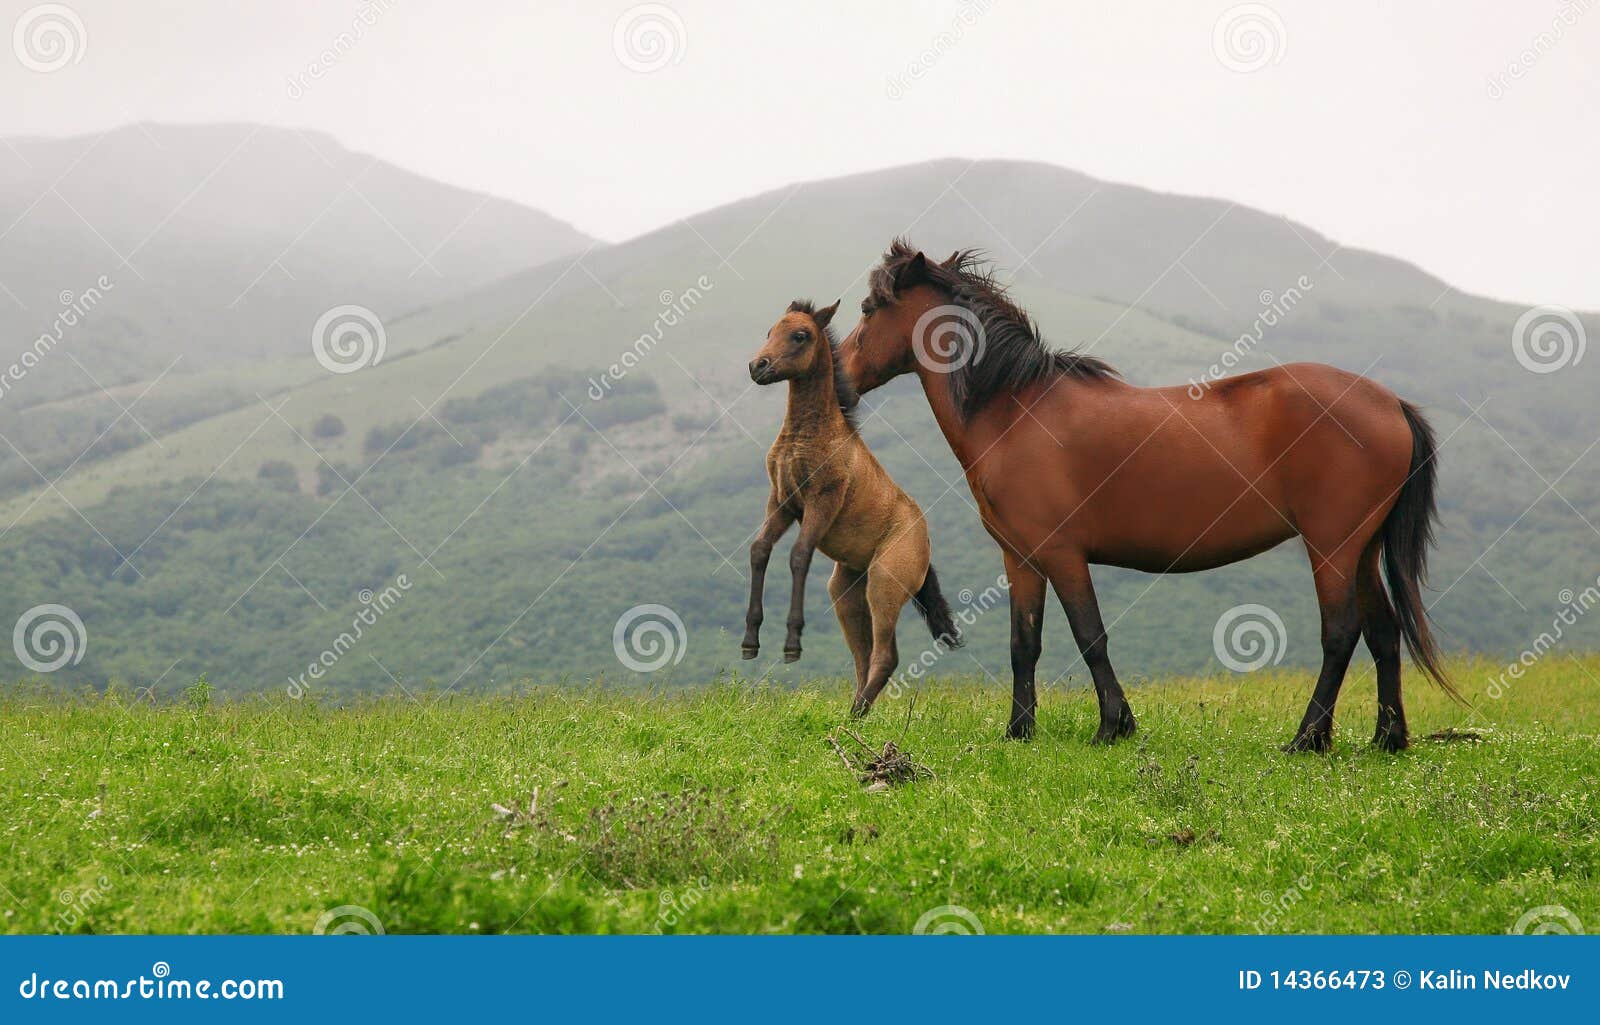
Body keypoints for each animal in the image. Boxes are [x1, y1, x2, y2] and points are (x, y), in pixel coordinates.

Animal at [743, 299, 962, 717]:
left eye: (800, 335)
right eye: (769, 331)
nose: (757, 366)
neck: (807, 433)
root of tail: (925, 550)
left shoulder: (822, 499)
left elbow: (799, 555)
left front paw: (792, 645)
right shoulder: (781, 501)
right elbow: (760, 550)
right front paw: (750, 641)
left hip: (883, 582)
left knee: (886, 655)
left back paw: (855, 716)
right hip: (845, 589)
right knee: (863, 656)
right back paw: (855, 715)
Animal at [835, 241, 1460, 752]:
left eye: (867, 309)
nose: (838, 380)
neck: (1013, 411)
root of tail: (1391, 403)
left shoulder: (1063, 556)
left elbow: (1090, 636)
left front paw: (1113, 725)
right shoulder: (1022, 559)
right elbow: (1023, 644)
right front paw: (1019, 731)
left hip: (1332, 546)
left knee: (1341, 633)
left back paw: (1308, 738)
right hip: (1362, 550)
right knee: (1383, 632)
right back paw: (1386, 738)